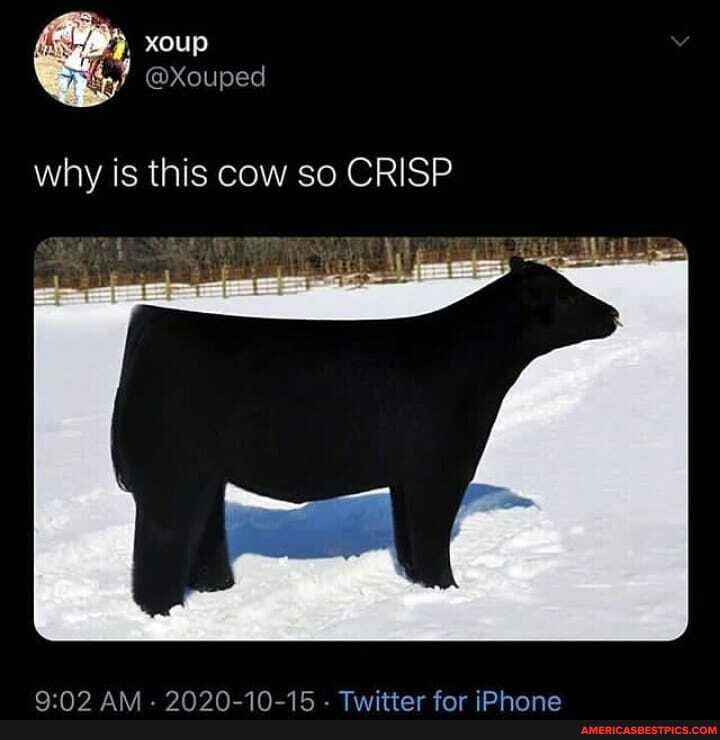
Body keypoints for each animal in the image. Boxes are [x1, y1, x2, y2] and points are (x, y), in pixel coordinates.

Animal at [111, 256, 621, 616]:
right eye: (566, 295)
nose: (614, 312)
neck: (470, 363)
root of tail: (149, 320)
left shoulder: (404, 477)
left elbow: (410, 541)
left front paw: (421, 584)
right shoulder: (440, 467)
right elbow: (432, 538)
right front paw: (449, 591)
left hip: (205, 476)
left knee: (203, 537)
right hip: (170, 476)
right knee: (159, 552)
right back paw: (165, 612)